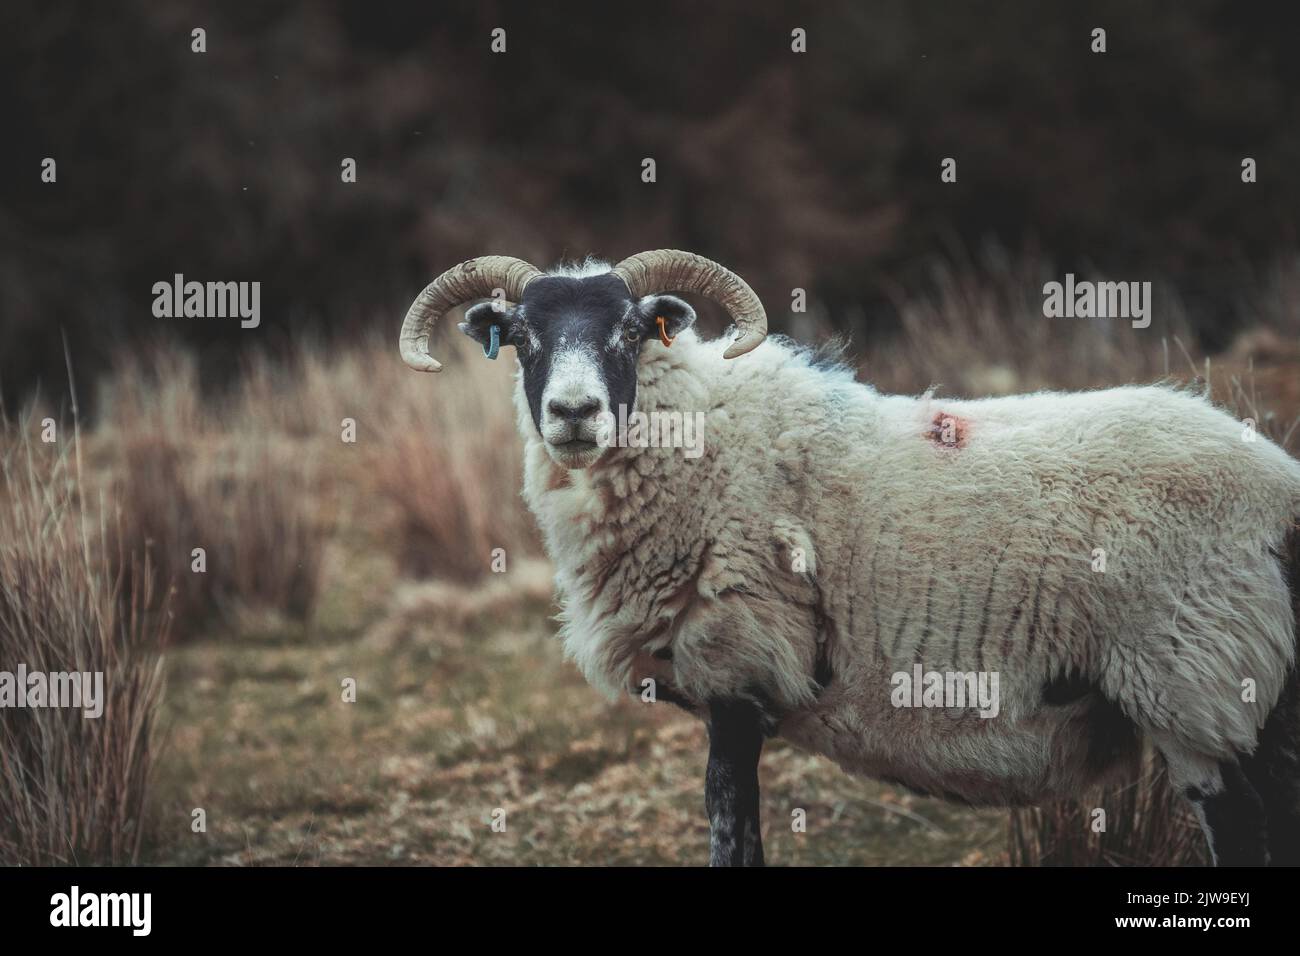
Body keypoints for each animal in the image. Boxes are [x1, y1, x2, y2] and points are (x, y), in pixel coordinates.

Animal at [399, 249, 1300, 866]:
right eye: (522, 336)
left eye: (629, 333)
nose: (574, 413)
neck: (698, 439)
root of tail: (1281, 489)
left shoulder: (739, 672)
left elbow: (733, 840)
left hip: (1204, 689)